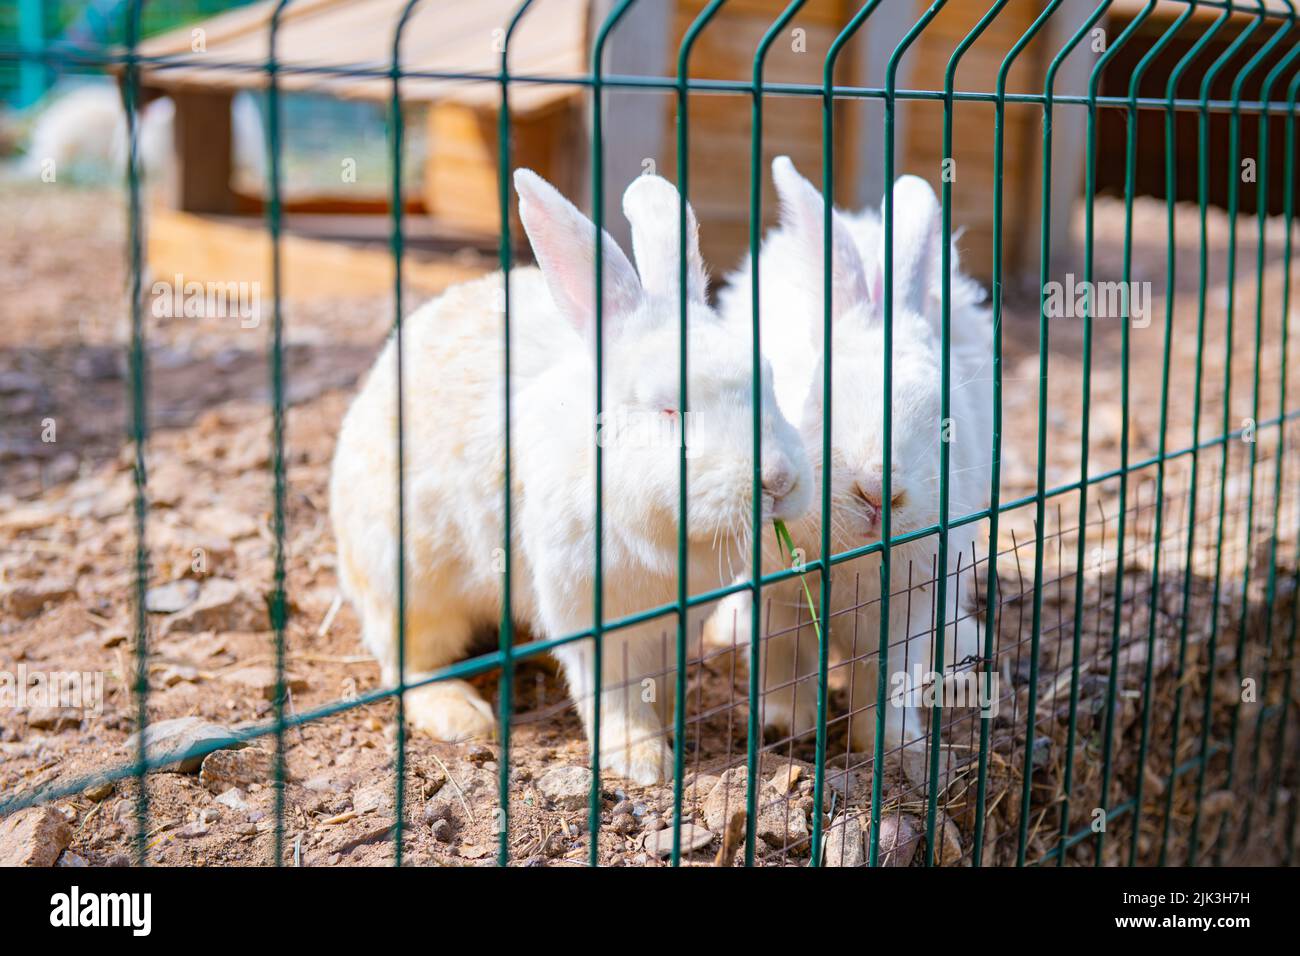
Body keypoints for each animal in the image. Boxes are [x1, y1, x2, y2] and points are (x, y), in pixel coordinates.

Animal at [330, 168, 812, 785]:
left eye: (767, 381)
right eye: (669, 410)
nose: (778, 480)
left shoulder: (671, 626)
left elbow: (656, 684)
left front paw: (667, 725)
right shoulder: (590, 616)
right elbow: (614, 694)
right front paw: (642, 760)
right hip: (410, 584)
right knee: (408, 663)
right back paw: (461, 714)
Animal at [707, 156, 993, 784]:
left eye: (944, 419)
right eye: (820, 403)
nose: (878, 490)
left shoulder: (908, 606)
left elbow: (885, 683)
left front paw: (897, 749)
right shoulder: (779, 596)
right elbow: (784, 663)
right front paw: (787, 729)